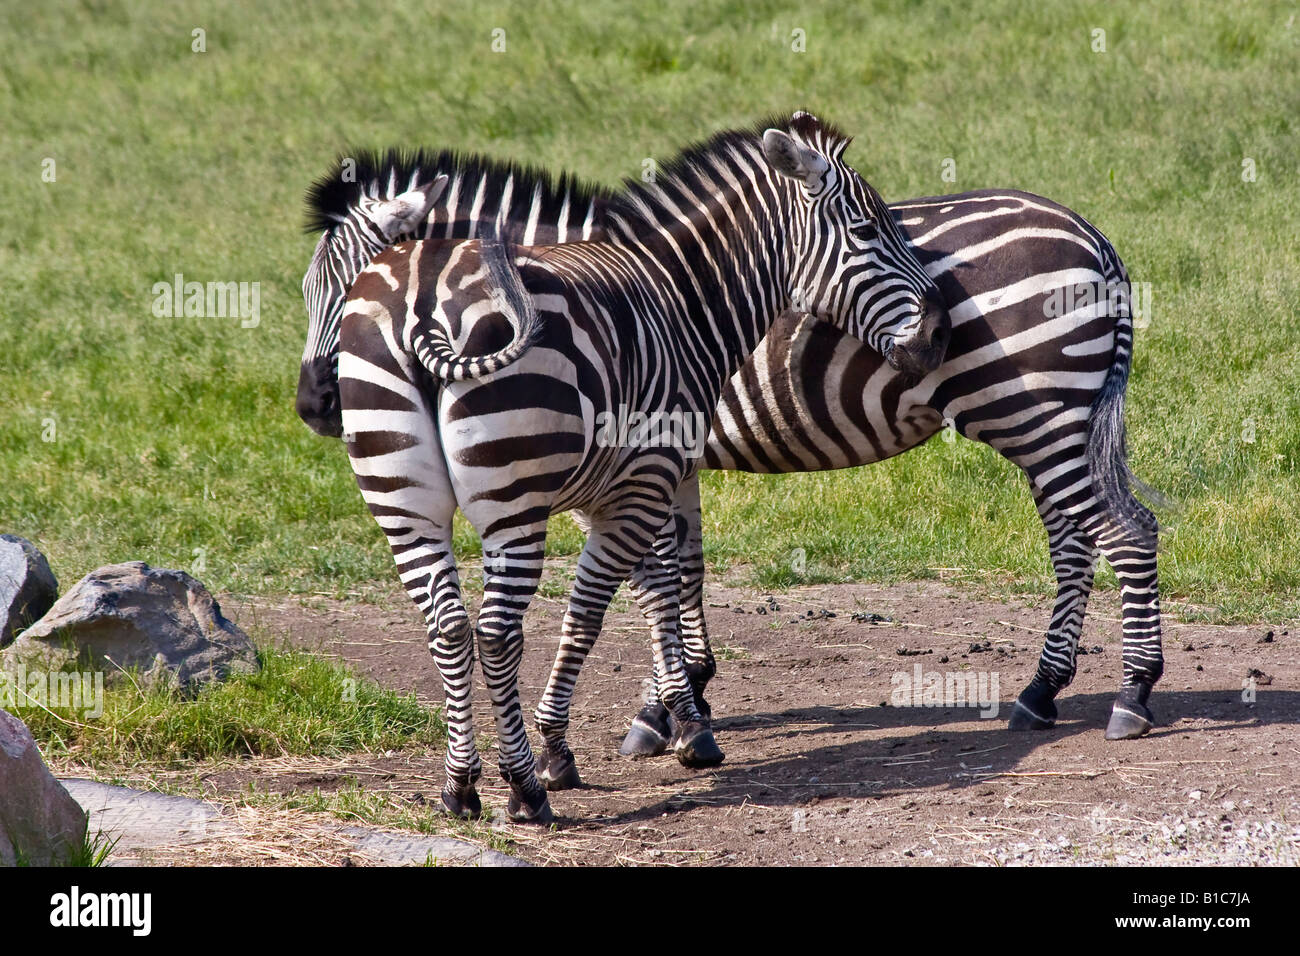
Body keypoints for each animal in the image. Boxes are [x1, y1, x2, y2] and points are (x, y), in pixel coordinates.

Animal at [297, 147, 1164, 747]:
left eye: (347, 294)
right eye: (309, 295)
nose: (314, 406)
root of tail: (1092, 236)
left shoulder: (628, 463)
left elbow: (648, 577)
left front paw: (665, 712)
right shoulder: (670, 462)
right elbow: (683, 568)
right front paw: (688, 693)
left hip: (1036, 413)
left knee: (1120, 532)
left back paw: (1130, 695)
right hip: (1049, 423)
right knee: (1080, 539)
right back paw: (1042, 692)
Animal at [333, 113, 949, 822]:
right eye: (867, 231)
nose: (941, 335)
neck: (682, 300)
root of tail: (424, 299)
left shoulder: (641, 482)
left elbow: (657, 584)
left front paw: (675, 717)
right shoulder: (644, 480)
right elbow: (602, 606)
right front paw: (574, 746)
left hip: (403, 501)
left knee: (449, 627)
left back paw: (460, 785)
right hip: (512, 498)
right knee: (494, 633)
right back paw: (523, 788)